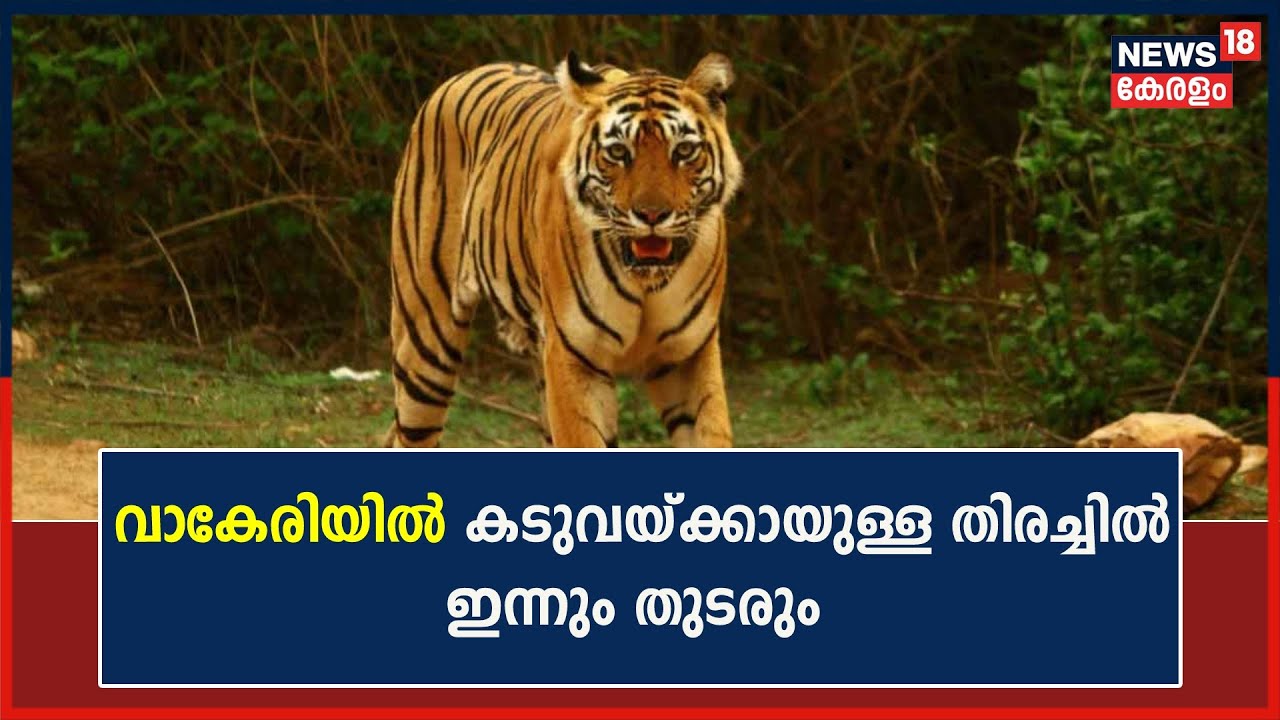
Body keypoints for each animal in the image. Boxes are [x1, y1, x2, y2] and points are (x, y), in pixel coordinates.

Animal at [386, 50, 743, 448]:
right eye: (618, 152)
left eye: (684, 150)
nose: (652, 215)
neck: (645, 281)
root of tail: (458, 77)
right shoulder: (574, 359)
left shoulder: (689, 355)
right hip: (426, 344)